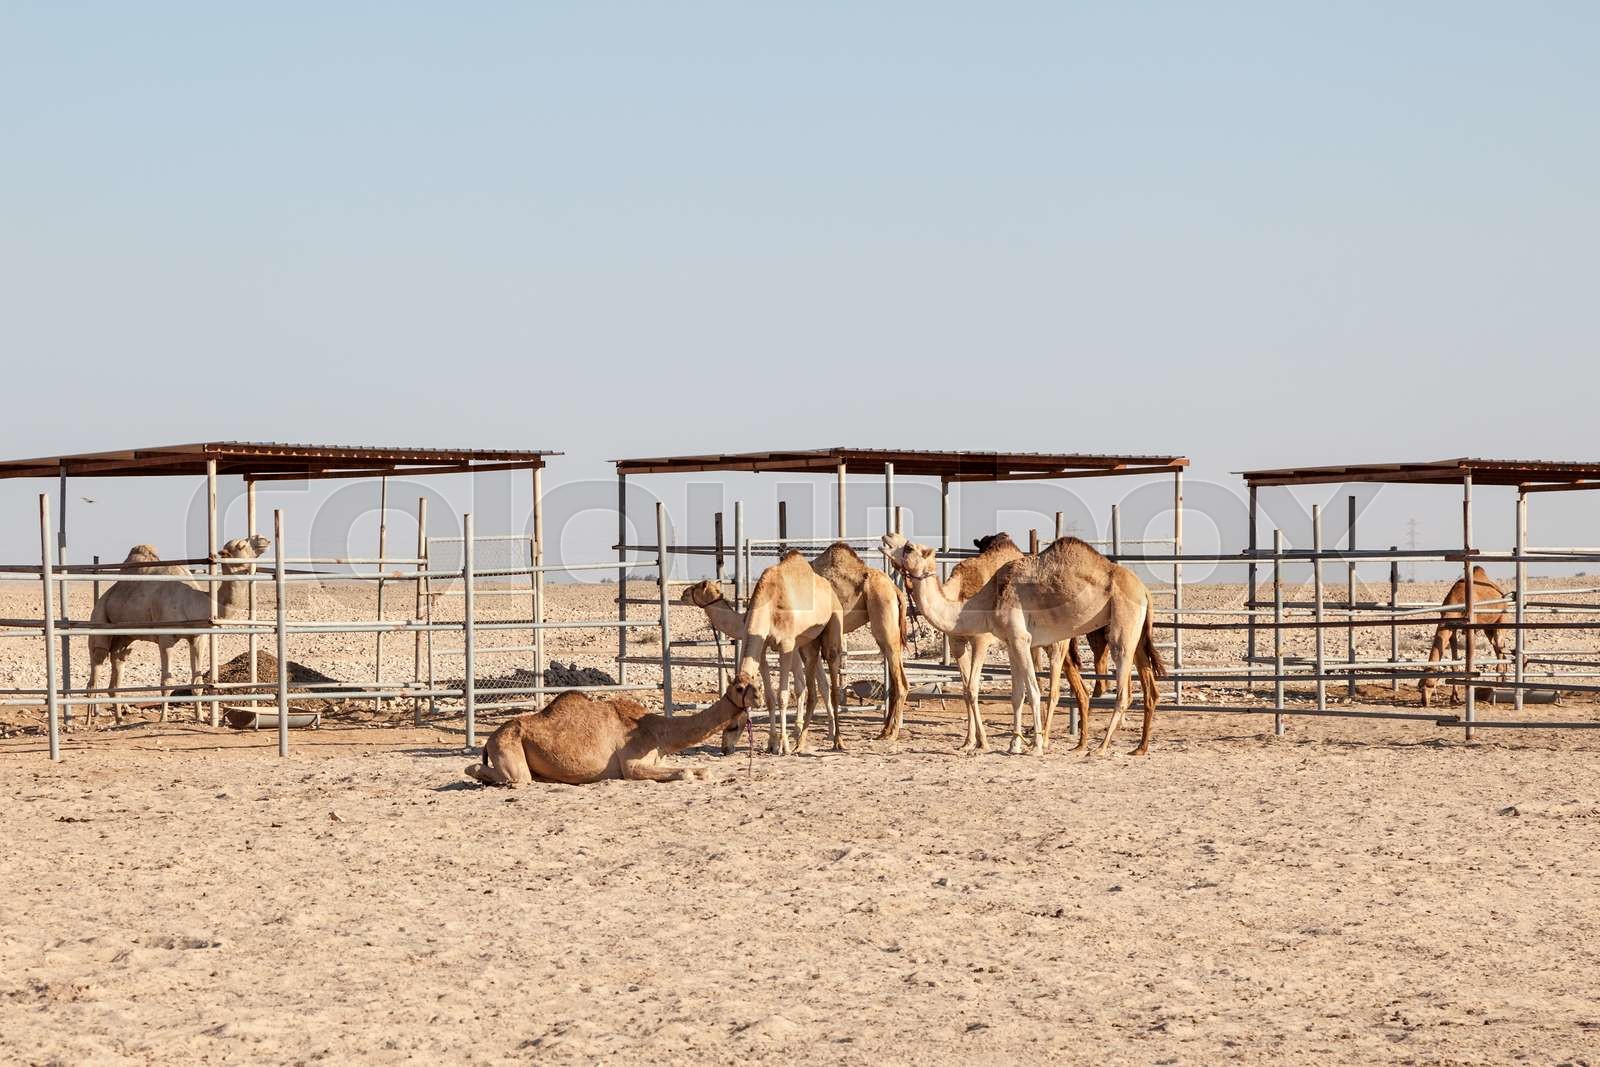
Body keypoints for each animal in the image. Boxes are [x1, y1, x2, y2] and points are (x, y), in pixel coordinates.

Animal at [85, 535, 270, 727]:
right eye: (241, 545)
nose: (263, 539)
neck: (193, 602)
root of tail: (106, 596)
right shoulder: (166, 637)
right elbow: (167, 681)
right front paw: (163, 719)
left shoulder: (198, 637)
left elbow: (197, 682)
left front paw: (200, 717)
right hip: (99, 616)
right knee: (96, 665)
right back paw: (89, 722)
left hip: (124, 637)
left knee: (118, 663)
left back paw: (120, 720)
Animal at [464, 677, 758, 786]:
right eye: (739, 687)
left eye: (752, 683)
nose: (758, 695)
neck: (658, 731)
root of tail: (489, 740)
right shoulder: (632, 766)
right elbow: (684, 773)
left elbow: (701, 770)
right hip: (509, 752)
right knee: (501, 774)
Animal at [737, 551, 845, 754]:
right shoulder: (762, 649)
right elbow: (770, 697)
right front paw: (772, 743)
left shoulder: (786, 645)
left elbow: (783, 695)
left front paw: (783, 745)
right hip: (807, 645)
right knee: (814, 685)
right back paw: (802, 741)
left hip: (833, 628)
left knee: (832, 680)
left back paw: (837, 741)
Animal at [884, 532, 1165, 756]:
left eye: (908, 547)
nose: (887, 537)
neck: (984, 602)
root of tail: (1145, 590)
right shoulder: (1011, 642)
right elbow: (1017, 695)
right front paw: (1014, 744)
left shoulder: (1021, 639)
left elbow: (1033, 691)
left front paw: (1036, 746)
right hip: (1134, 632)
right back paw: (1133, 748)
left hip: (1121, 627)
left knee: (1122, 688)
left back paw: (1100, 747)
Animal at [1420, 565, 1511, 708]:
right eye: (1419, 687)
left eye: (1431, 685)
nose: (1424, 702)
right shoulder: (1451, 628)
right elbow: (1454, 663)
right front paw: (1454, 697)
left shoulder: (1471, 627)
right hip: (1488, 628)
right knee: (1498, 649)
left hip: (1501, 620)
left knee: (1499, 646)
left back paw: (1497, 687)